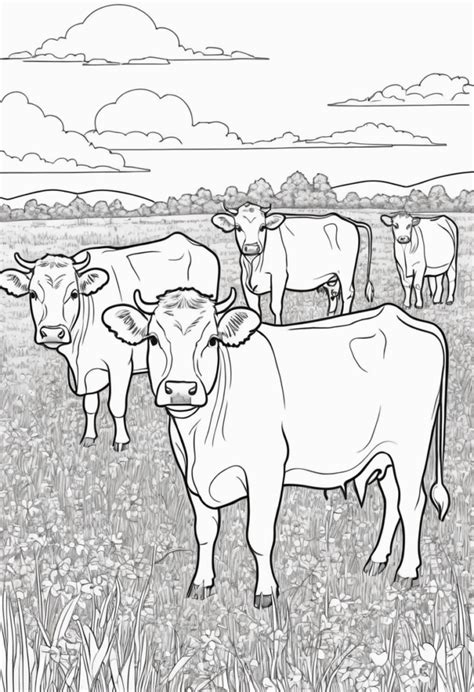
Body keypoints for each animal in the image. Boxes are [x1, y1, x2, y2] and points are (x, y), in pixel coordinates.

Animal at [0, 234, 219, 451]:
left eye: (73, 293)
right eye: (33, 294)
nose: (52, 332)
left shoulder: (120, 365)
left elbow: (116, 405)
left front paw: (121, 441)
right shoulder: (88, 369)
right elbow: (90, 405)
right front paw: (88, 438)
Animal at [103, 288, 450, 608]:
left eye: (213, 341)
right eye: (153, 339)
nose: (180, 389)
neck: (200, 438)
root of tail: (404, 318)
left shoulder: (266, 472)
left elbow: (258, 536)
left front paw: (266, 591)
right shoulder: (192, 477)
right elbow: (205, 531)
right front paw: (201, 584)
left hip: (410, 449)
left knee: (412, 504)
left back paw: (406, 573)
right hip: (384, 455)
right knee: (393, 502)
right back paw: (376, 561)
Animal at [211, 202, 374, 324]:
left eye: (262, 227)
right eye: (238, 227)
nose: (251, 248)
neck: (254, 264)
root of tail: (347, 220)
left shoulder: (279, 277)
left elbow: (275, 306)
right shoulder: (245, 281)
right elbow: (254, 310)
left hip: (346, 272)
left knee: (347, 295)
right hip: (332, 278)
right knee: (333, 296)